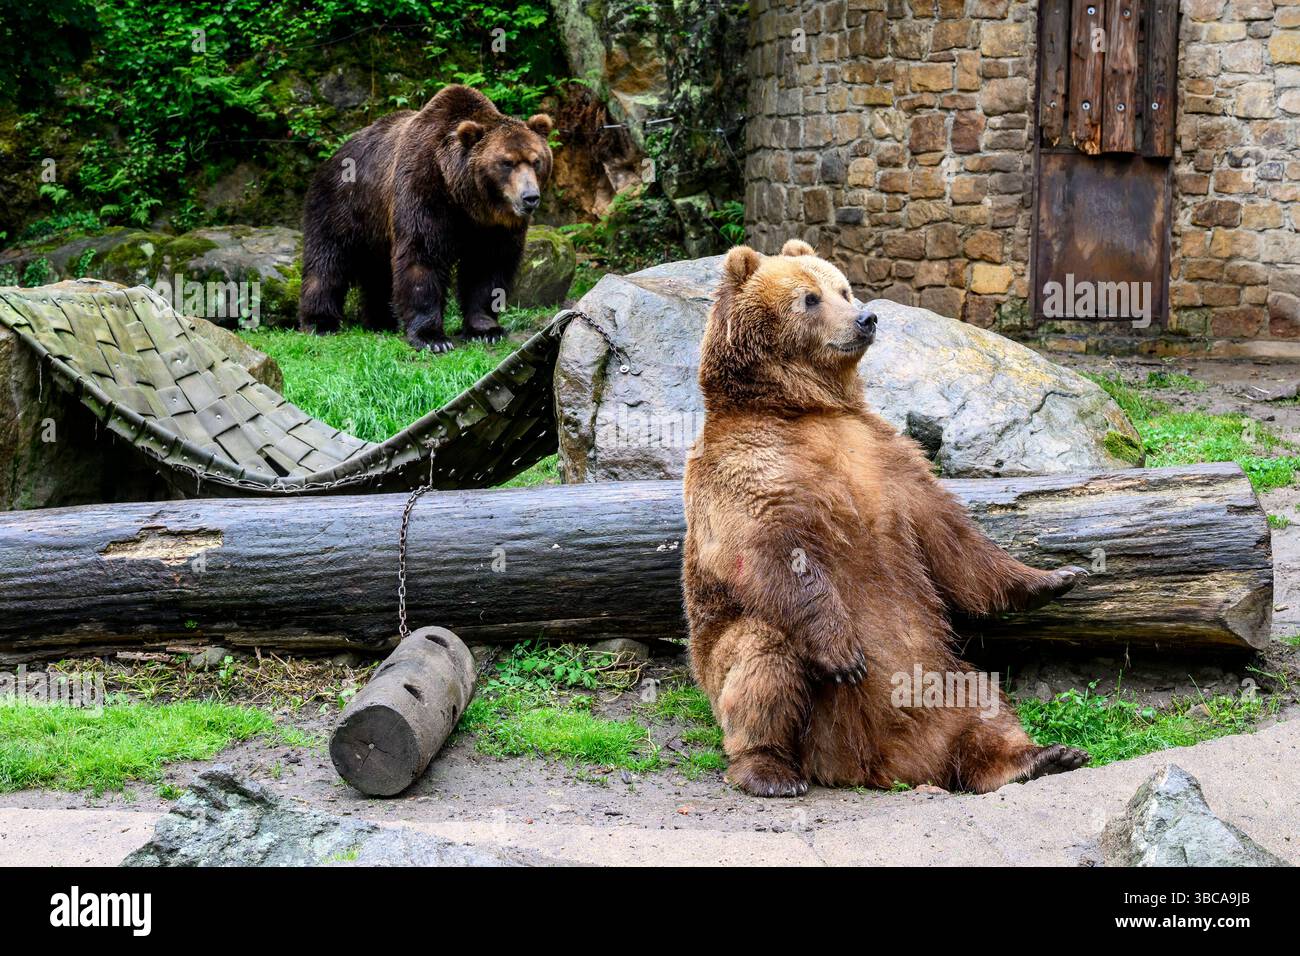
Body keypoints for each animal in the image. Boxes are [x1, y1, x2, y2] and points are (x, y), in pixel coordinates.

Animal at [297, 85, 553, 352]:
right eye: (507, 162)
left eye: (536, 161)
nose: (530, 197)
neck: (465, 199)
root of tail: (331, 157)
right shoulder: (422, 189)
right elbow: (422, 256)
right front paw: (432, 338)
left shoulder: (491, 227)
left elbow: (488, 266)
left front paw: (486, 330)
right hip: (341, 206)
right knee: (328, 261)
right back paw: (320, 322)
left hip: (376, 227)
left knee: (377, 272)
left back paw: (380, 322)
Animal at [682, 240, 1091, 797]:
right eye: (809, 298)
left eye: (844, 288)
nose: (866, 318)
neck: (803, 407)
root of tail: (878, 761)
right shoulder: (746, 469)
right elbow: (770, 549)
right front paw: (845, 653)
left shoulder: (884, 458)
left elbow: (951, 535)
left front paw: (1056, 576)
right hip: (749, 664)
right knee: (762, 663)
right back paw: (769, 770)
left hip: (945, 674)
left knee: (986, 703)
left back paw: (1042, 756)